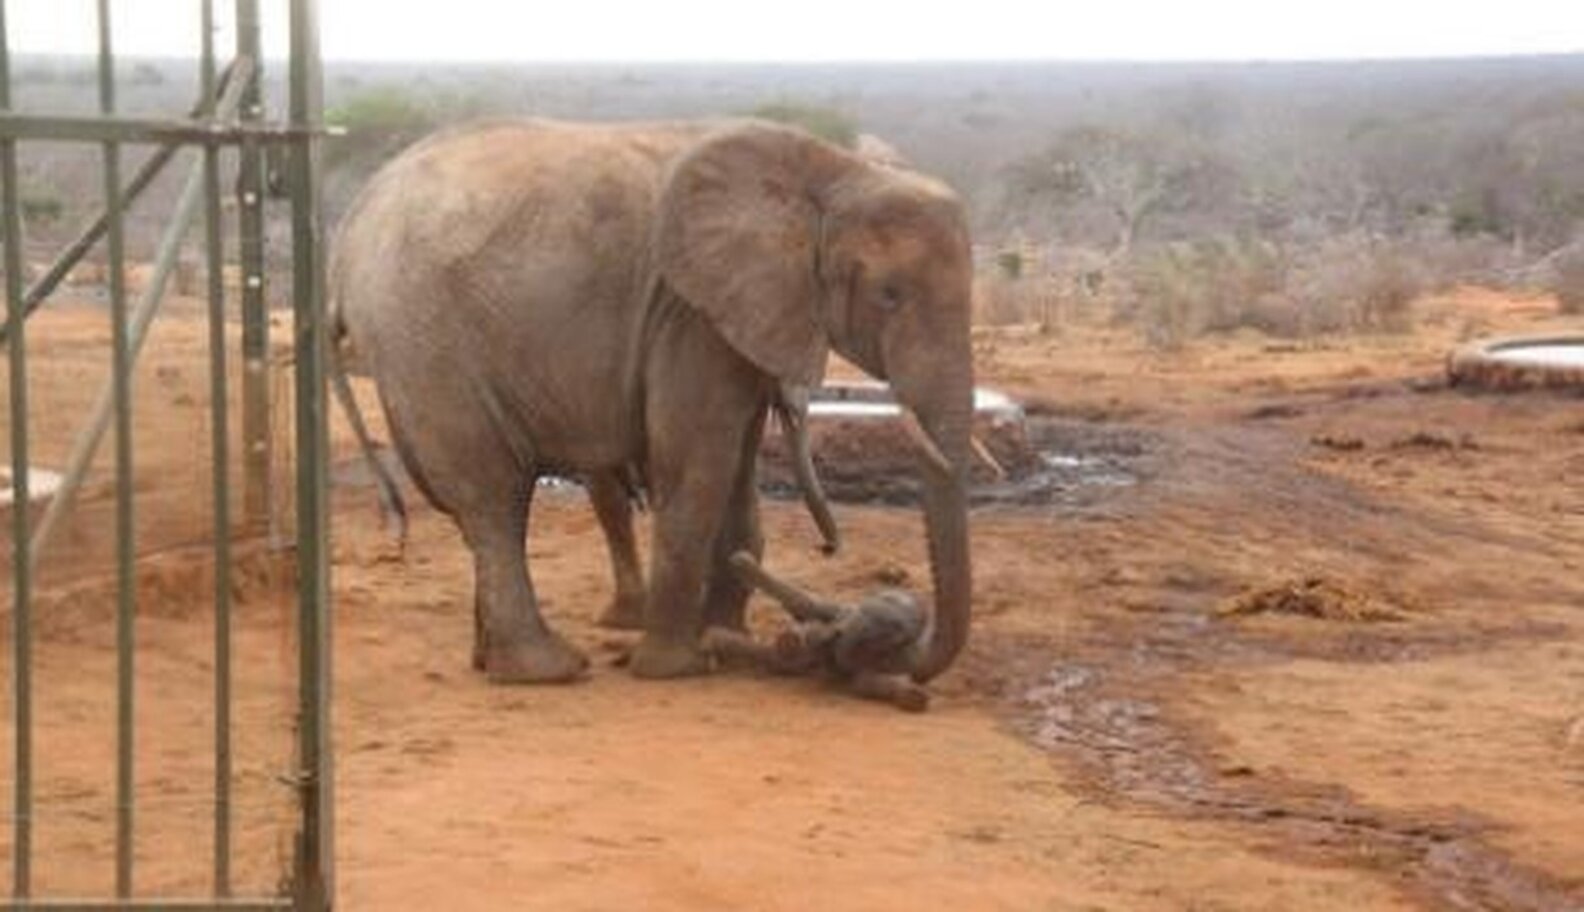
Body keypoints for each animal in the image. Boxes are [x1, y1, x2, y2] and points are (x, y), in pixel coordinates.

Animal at [330, 117, 975, 684]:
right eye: (889, 295)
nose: (828, 549)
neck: (835, 169)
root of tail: (353, 223)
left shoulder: (729, 319)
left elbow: (737, 471)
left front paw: (724, 639)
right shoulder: (688, 313)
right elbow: (695, 465)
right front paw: (680, 666)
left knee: (490, 508)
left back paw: (489, 661)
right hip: (426, 343)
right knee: (492, 498)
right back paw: (547, 672)